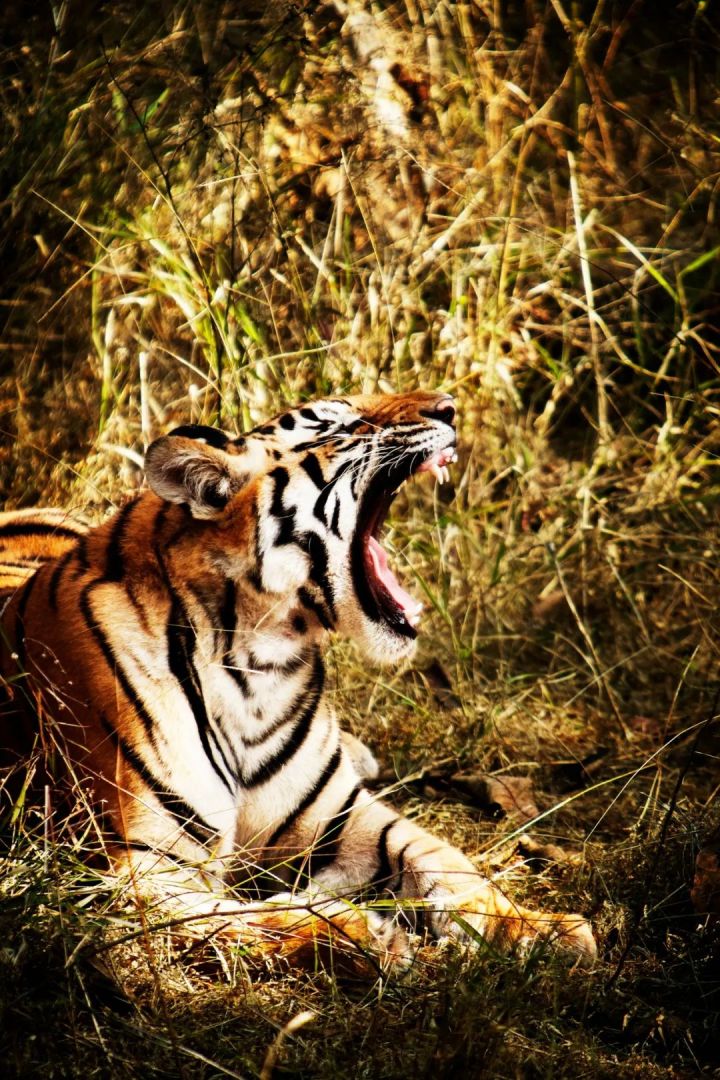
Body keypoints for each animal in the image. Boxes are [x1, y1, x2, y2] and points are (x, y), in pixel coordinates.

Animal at [0, 390, 596, 971]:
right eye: (341, 423)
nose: (450, 407)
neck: (261, 665)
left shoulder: (343, 815)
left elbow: (448, 861)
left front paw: (542, 930)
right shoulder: (140, 868)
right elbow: (246, 920)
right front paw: (370, 935)